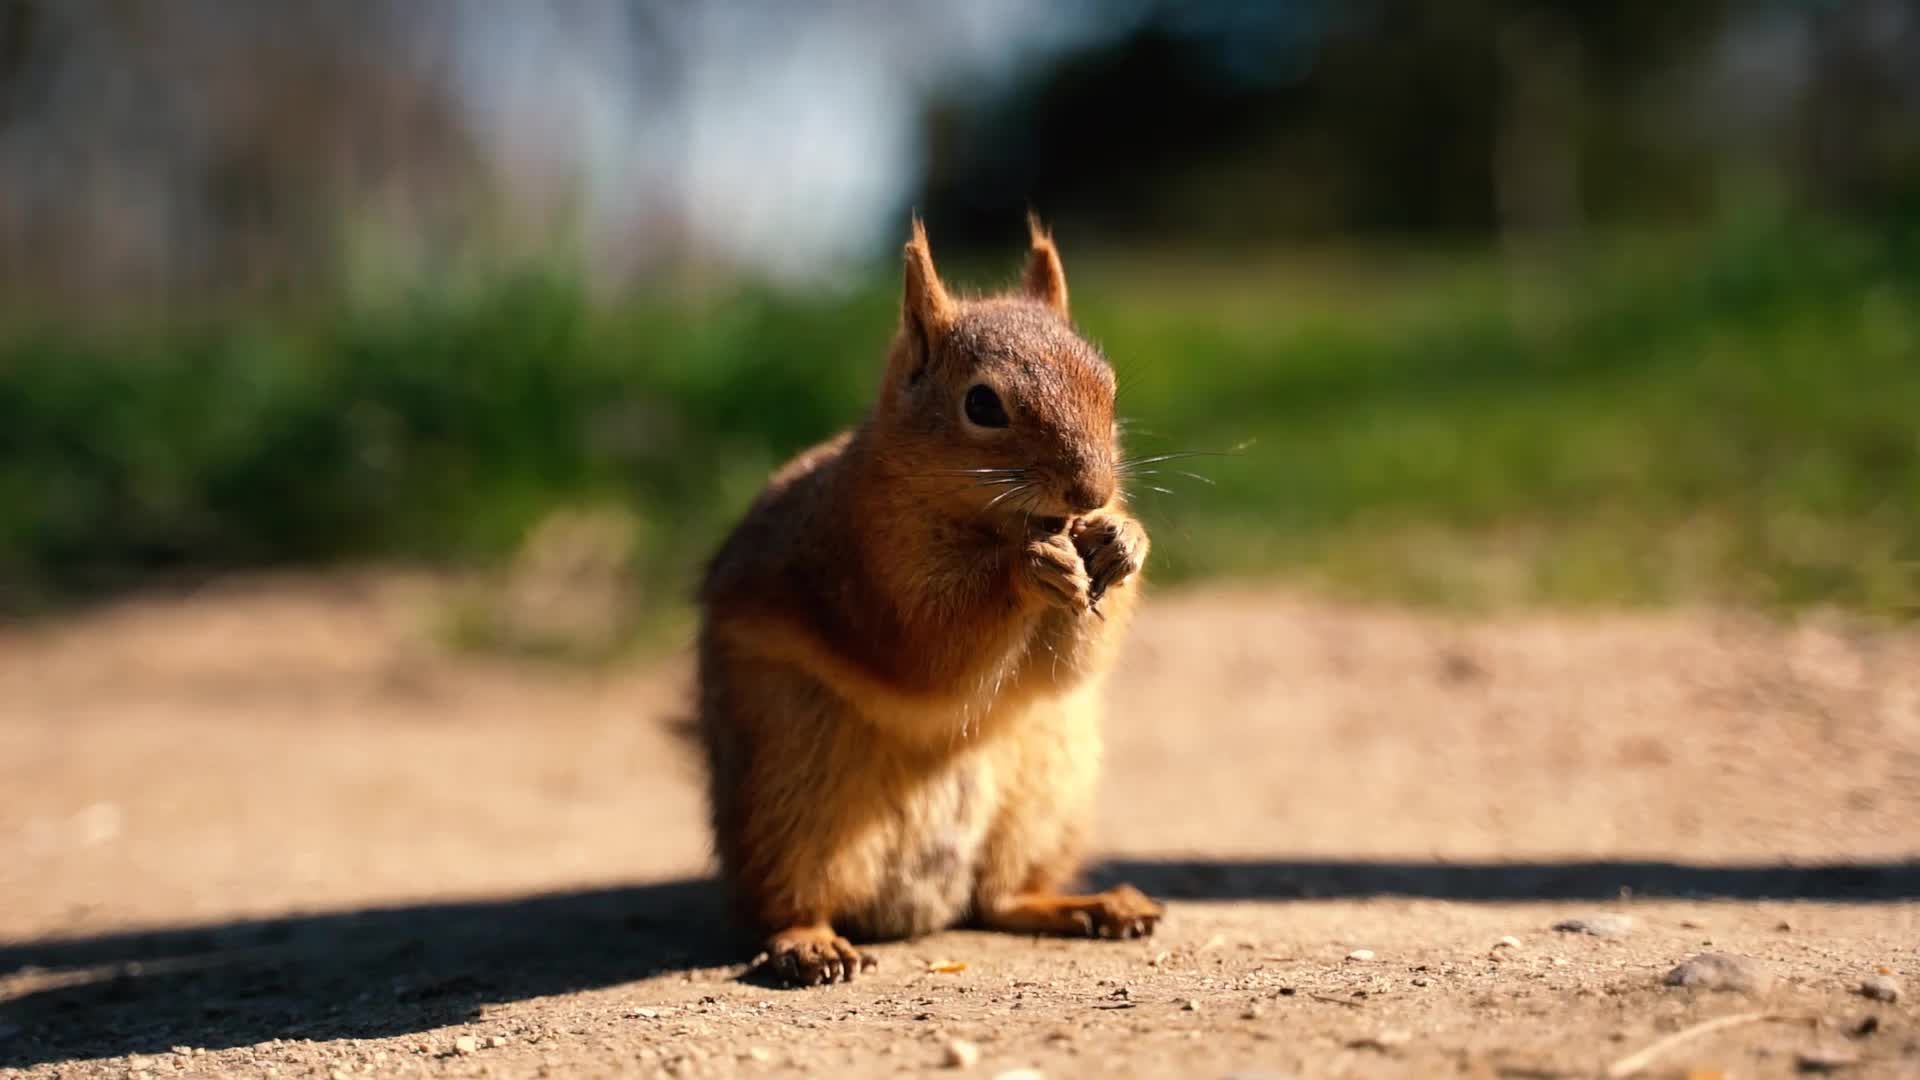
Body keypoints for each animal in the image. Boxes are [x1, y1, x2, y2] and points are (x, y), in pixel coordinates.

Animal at [690, 215, 1161, 986]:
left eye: (1110, 388)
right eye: (982, 404)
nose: (1091, 490)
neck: (1001, 524)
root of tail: (922, 907)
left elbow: (1072, 664)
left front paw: (1125, 538)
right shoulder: (862, 567)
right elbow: (928, 648)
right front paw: (1027, 569)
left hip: (1048, 789)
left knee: (1002, 898)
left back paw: (1093, 906)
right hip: (788, 785)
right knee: (786, 898)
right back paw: (810, 944)